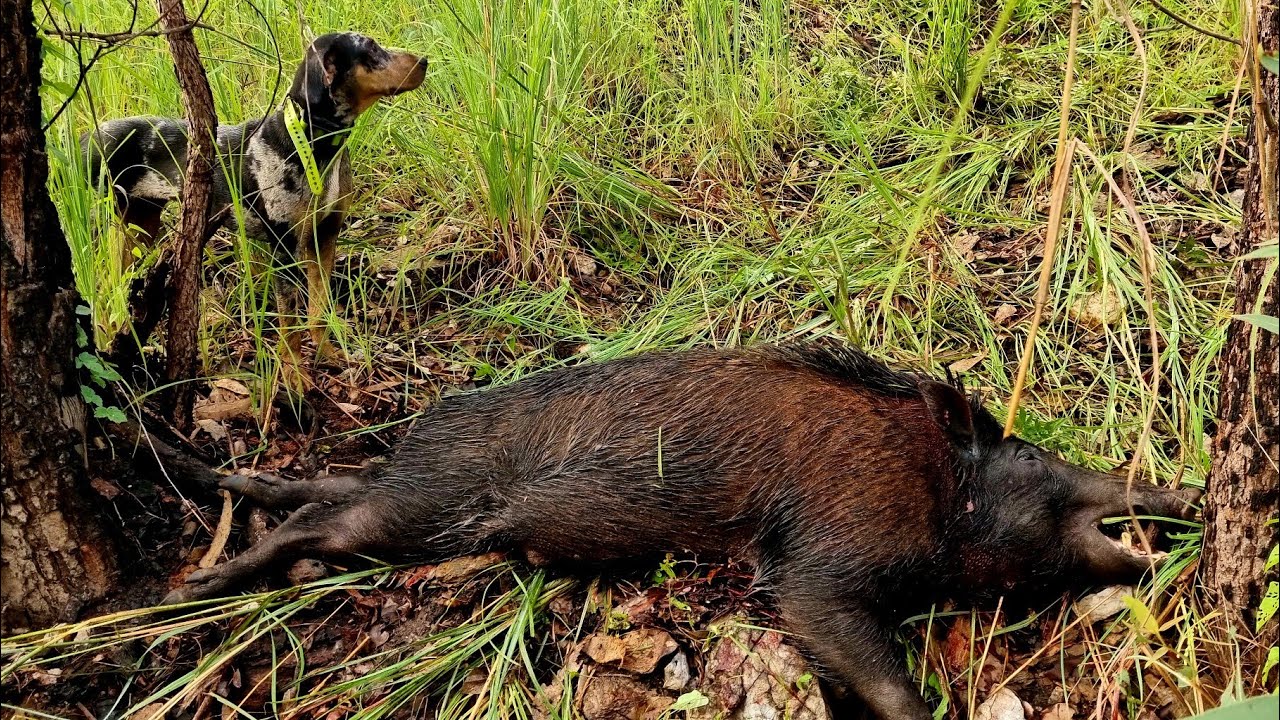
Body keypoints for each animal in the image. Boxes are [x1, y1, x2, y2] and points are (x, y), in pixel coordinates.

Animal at [164, 344, 1200, 719]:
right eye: (1035, 464)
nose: (1183, 502)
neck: (945, 493)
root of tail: (417, 432)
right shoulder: (816, 566)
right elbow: (890, 686)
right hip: (427, 504)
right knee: (323, 515)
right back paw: (191, 589)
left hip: (411, 499)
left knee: (322, 487)